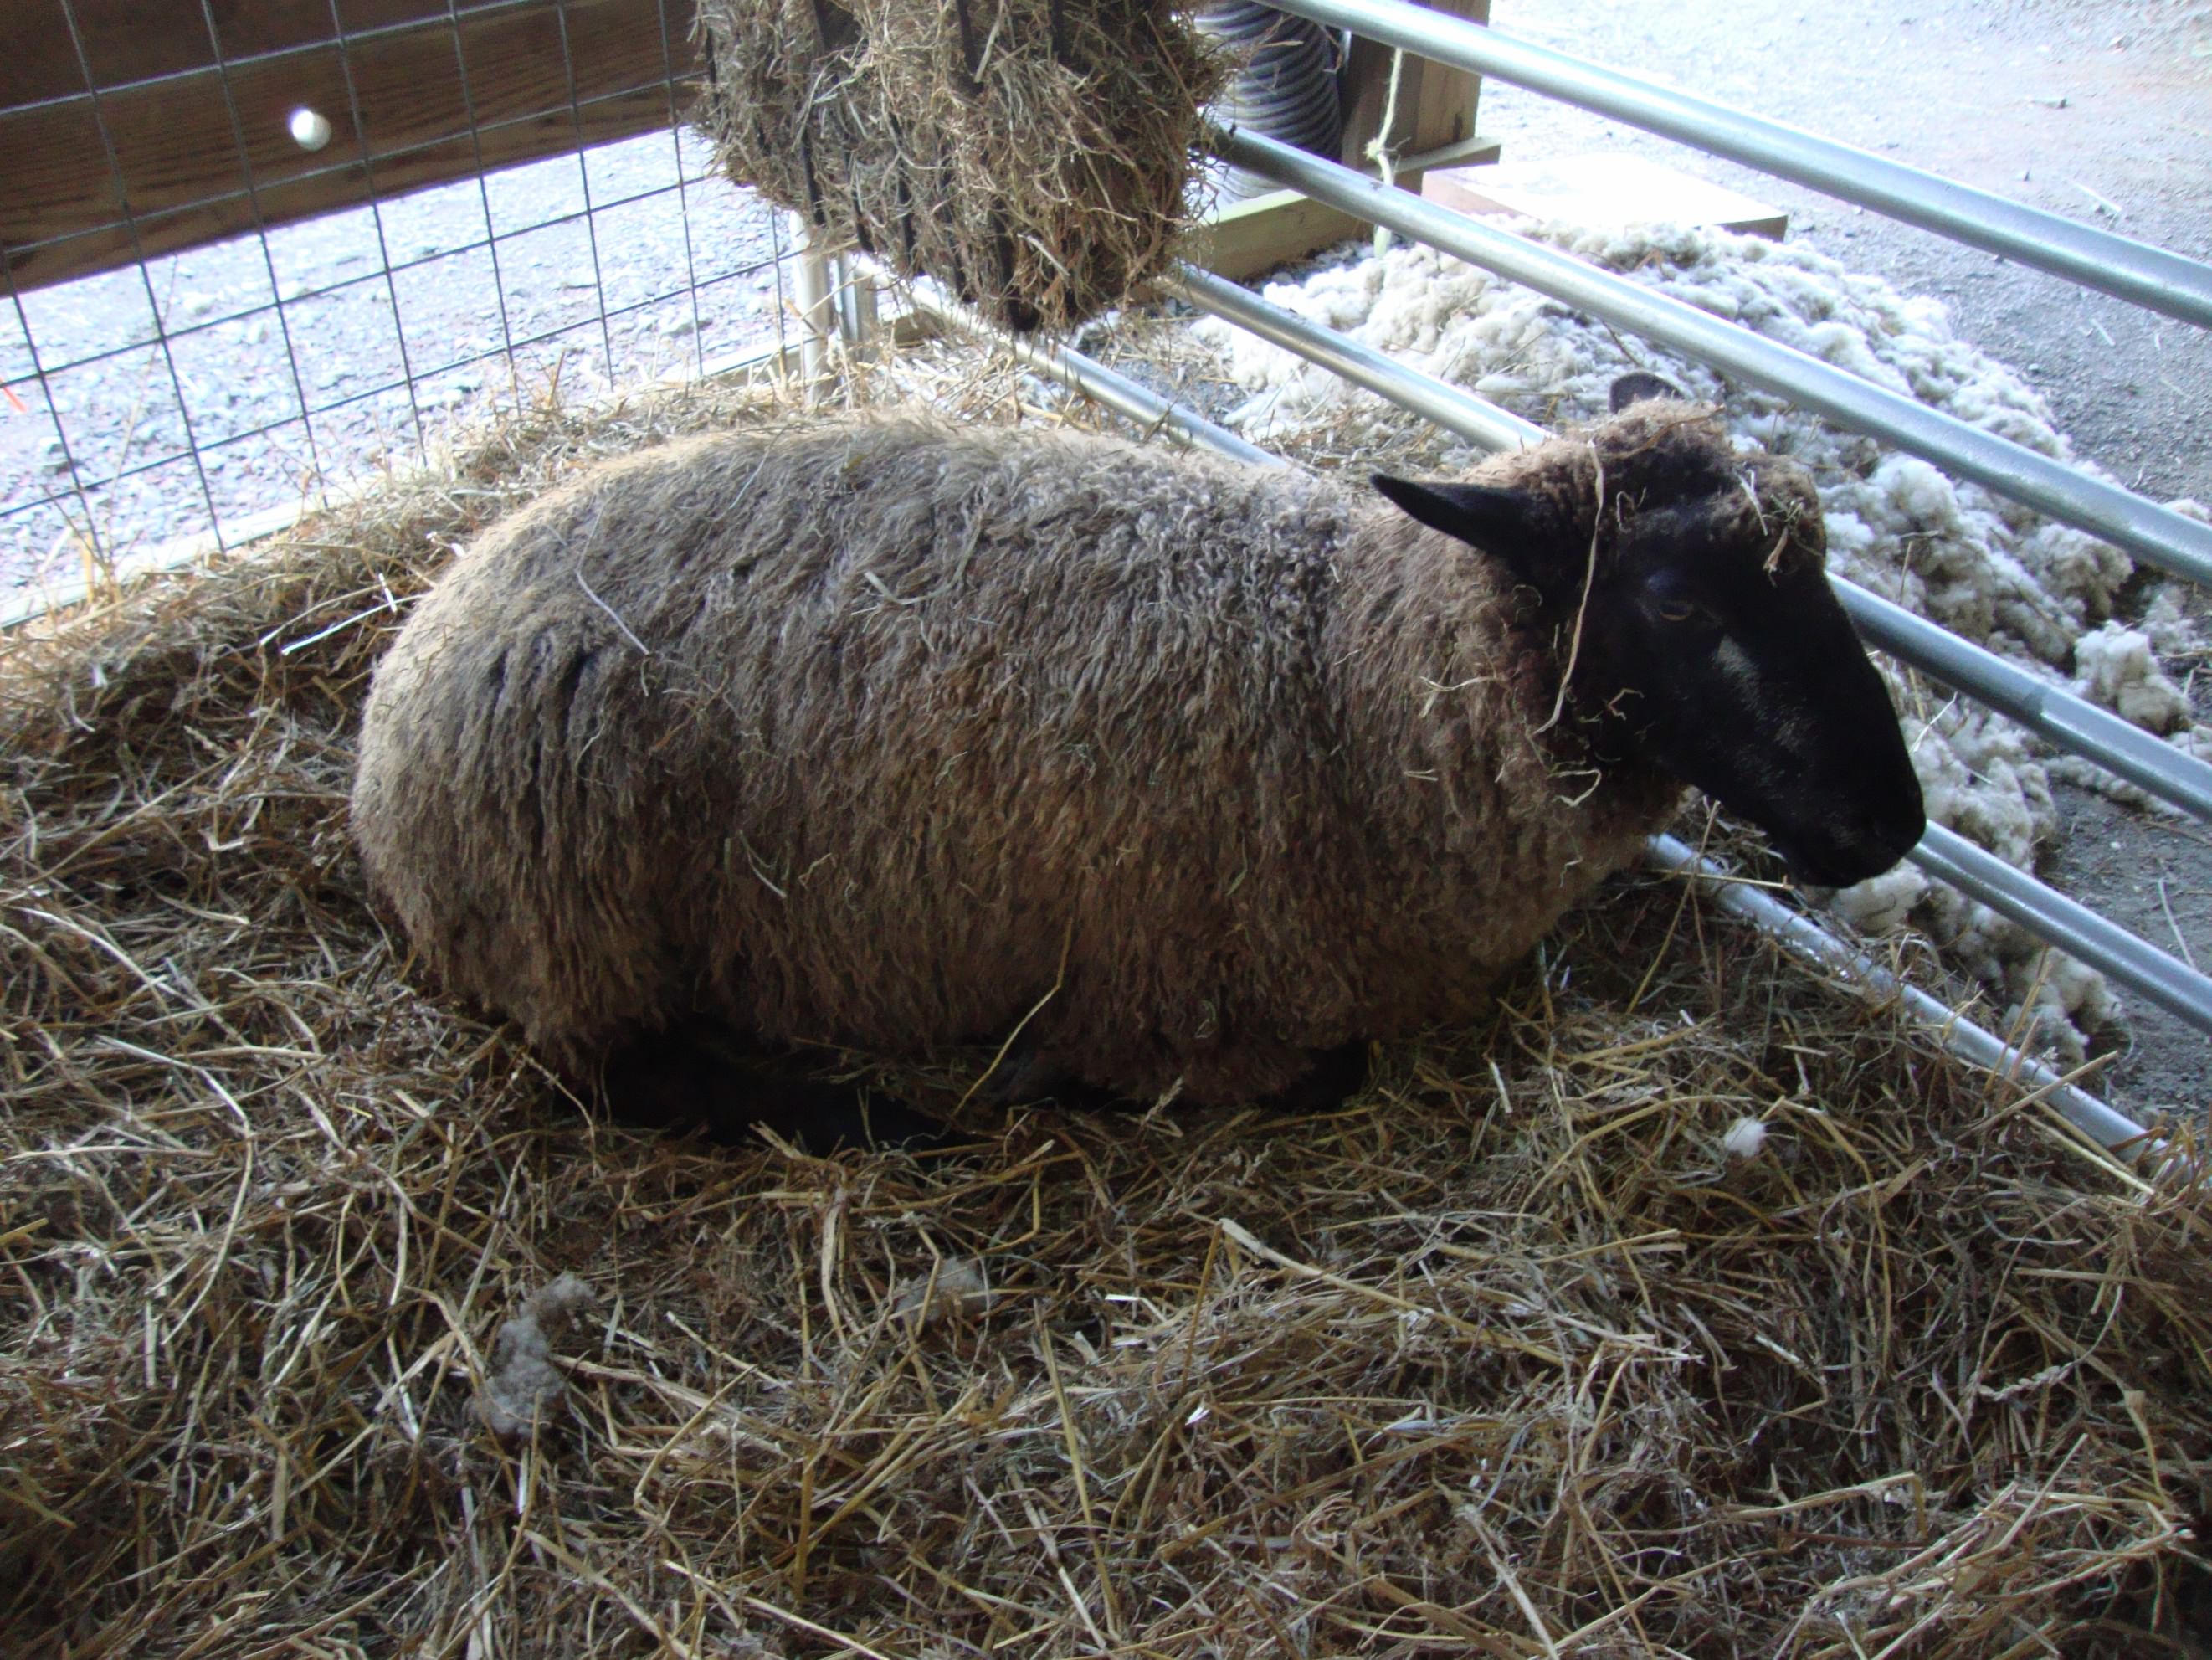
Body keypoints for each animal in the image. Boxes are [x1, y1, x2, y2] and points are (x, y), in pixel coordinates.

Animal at [350, 379, 1925, 1121]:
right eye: (1675, 601)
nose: (1890, 823)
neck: (1344, 680)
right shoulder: (1172, 989)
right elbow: (1314, 1071)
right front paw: (1056, 1084)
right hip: (570, 909)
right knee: (623, 1079)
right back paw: (872, 1119)